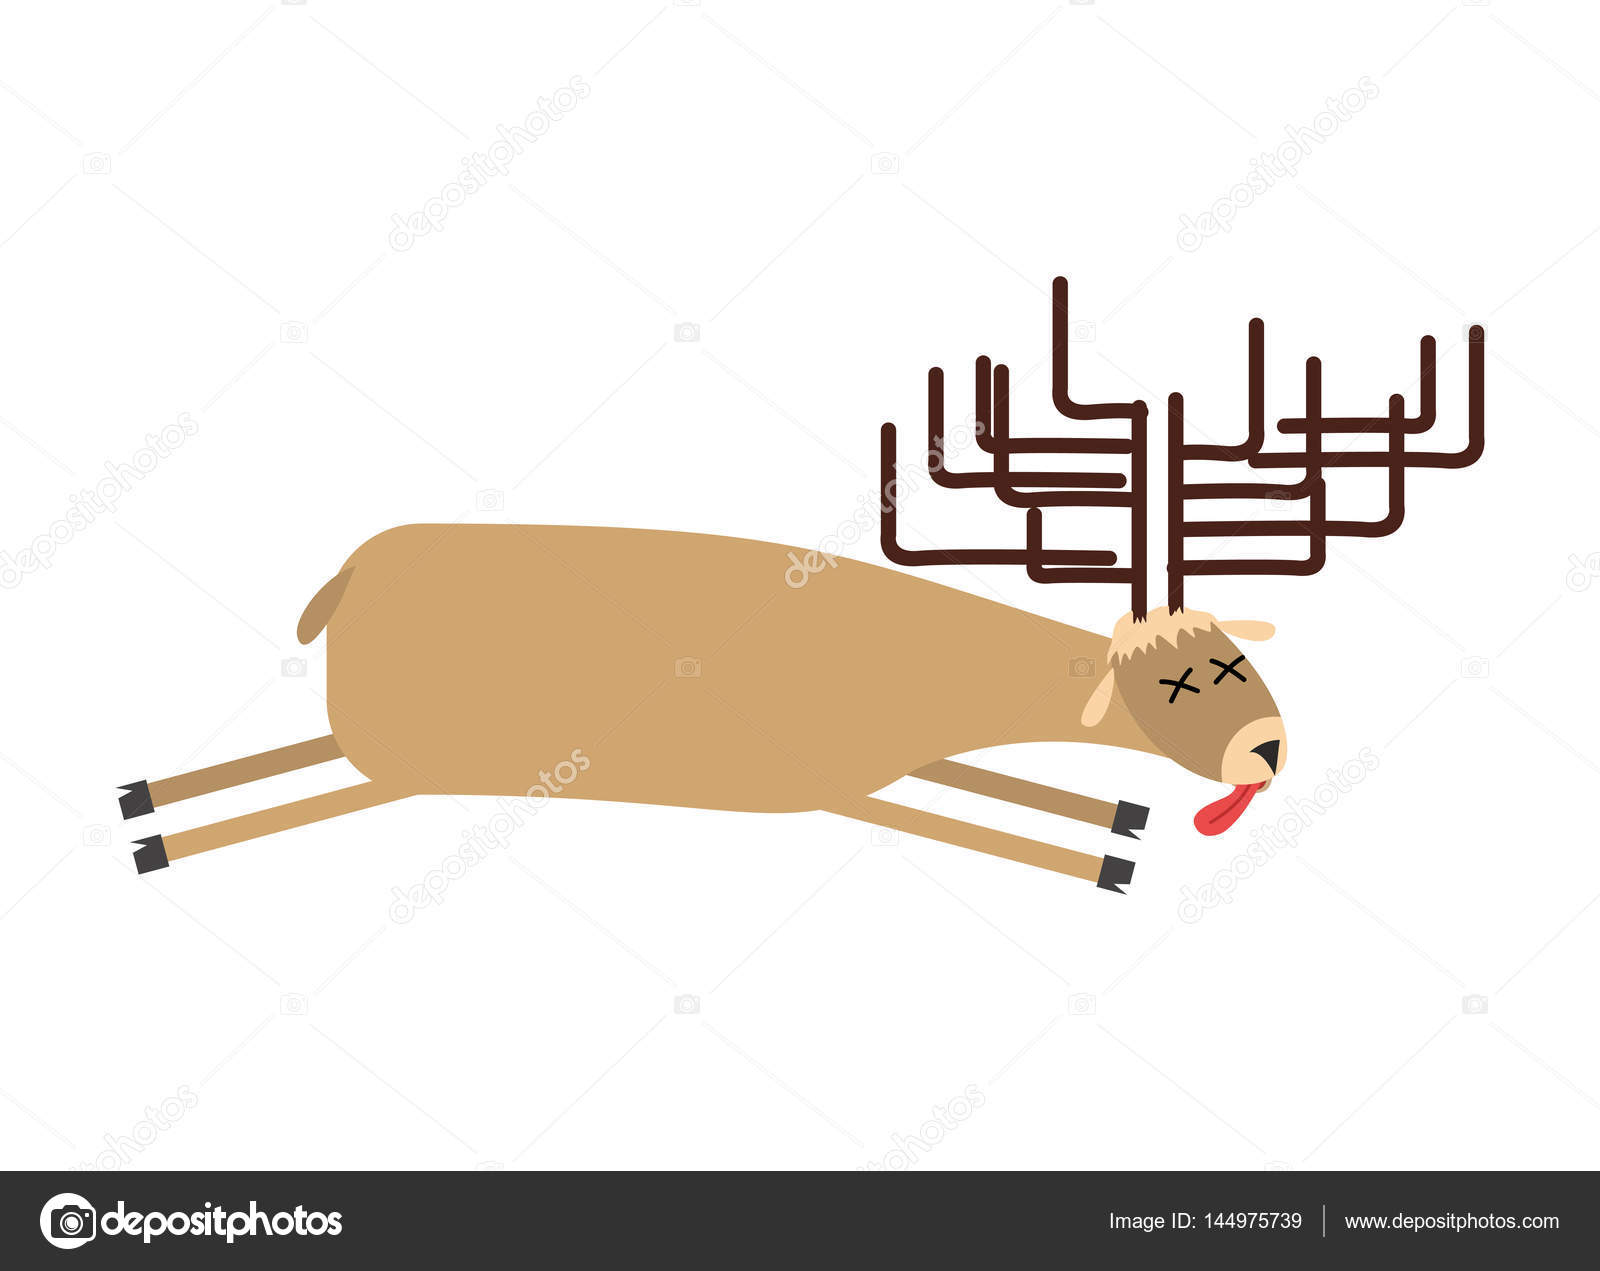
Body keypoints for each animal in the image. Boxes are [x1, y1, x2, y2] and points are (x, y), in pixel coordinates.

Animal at [118, 278, 1484, 893]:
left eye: (1243, 655)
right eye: (1187, 681)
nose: (1270, 749)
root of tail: (342, 580)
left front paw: (1121, 822)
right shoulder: (833, 784)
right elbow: (985, 819)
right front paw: (1109, 849)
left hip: (379, 744)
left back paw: (146, 809)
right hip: (400, 752)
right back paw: (153, 829)